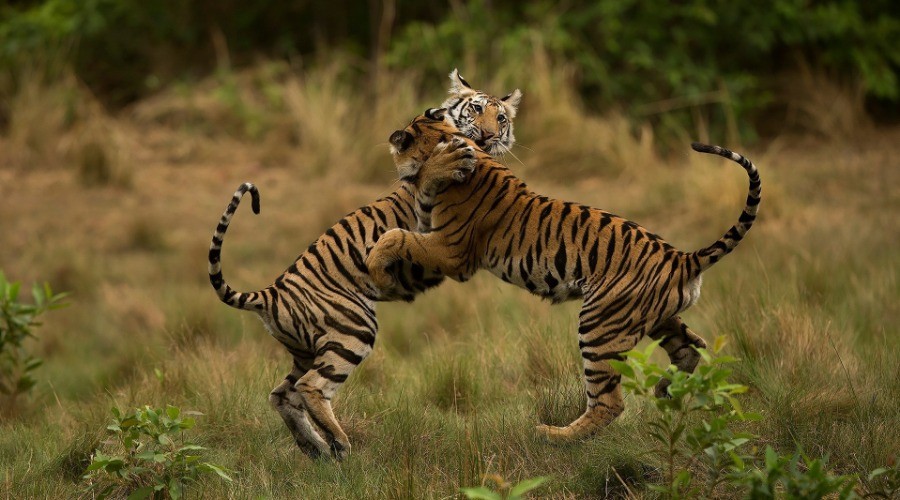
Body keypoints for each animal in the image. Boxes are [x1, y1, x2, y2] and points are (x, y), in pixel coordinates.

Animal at [207, 80, 519, 460]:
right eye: (475, 110)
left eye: (499, 116)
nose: (490, 134)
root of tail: (271, 293)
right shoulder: (425, 222)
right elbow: (427, 181)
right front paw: (445, 163)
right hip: (353, 331)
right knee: (310, 387)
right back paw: (340, 444)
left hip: (306, 350)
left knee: (282, 394)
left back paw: (316, 448)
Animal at [365, 108, 761, 440]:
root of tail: (682, 257)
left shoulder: (451, 251)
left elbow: (395, 235)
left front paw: (378, 271)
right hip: (659, 317)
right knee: (691, 349)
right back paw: (666, 387)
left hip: (600, 326)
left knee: (608, 403)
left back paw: (555, 435)